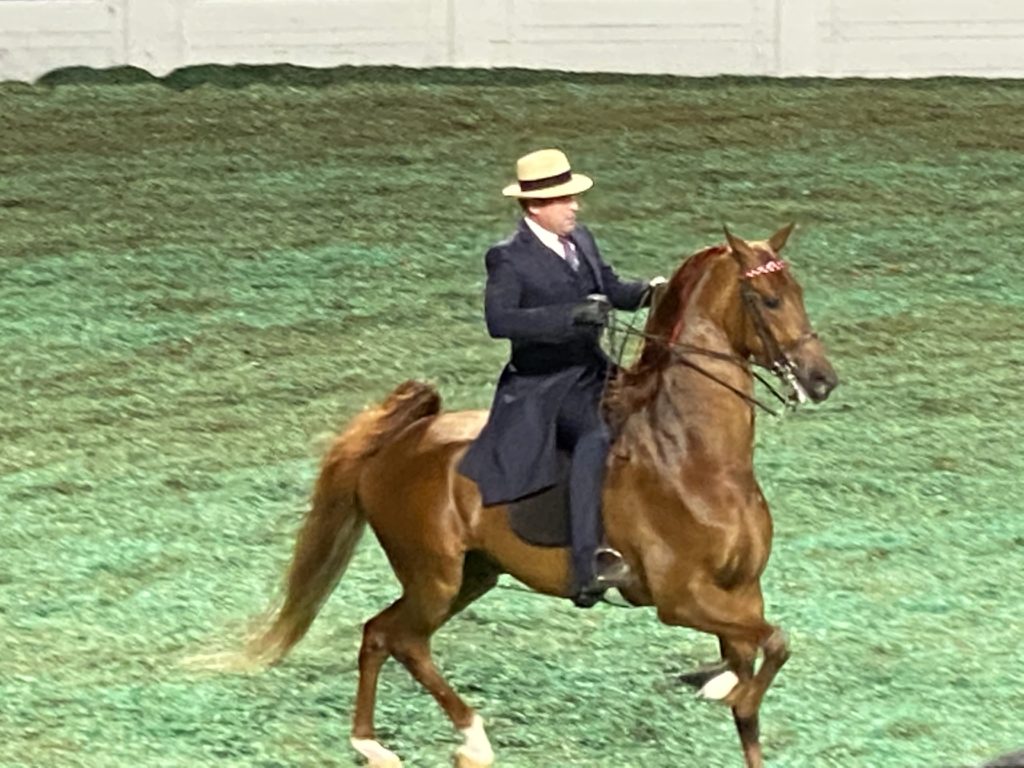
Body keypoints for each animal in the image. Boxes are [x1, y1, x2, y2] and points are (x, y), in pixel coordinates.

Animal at [241, 224, 838, 768]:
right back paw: (464, 741)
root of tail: (401, 440)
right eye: (768, 299)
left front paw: (718, 686)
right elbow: (774, 647)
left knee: (382, 634)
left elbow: (752, 670)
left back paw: (374, 745)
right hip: (434, 578)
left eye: (798, 290)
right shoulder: (681, 599)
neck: (693, 455)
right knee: (402, 639)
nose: (821, 380)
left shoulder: (743, 592)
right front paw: (726, 689)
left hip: (472, 576)